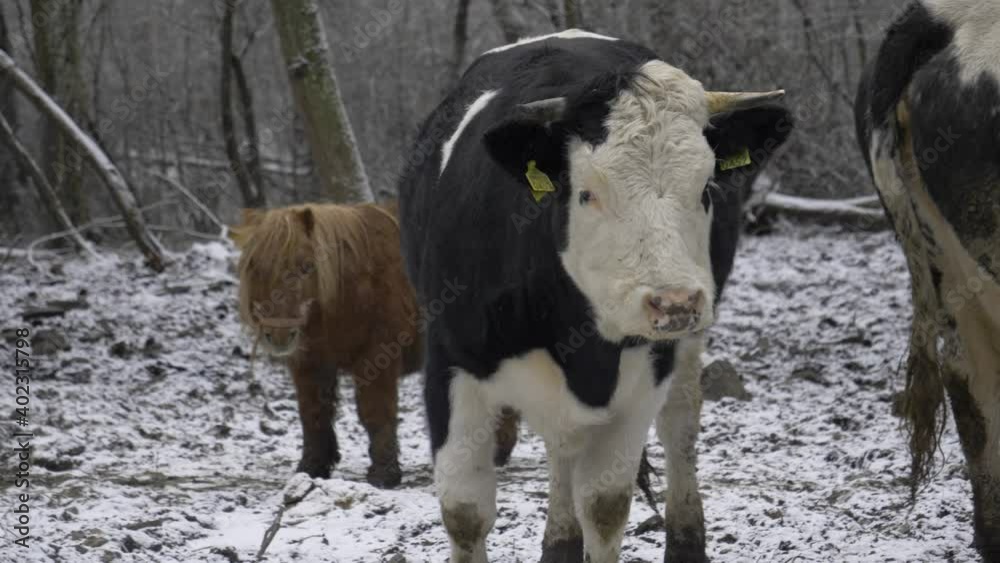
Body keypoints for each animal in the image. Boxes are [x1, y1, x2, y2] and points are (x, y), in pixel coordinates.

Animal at [399, 30, 792, 563]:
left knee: (679, 426)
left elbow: (606, 507)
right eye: (586, 193)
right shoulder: (449, 362)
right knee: (562, 447)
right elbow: (464, 512)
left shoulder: (643, 379)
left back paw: (684, 541)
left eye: (706, 187)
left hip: (689, 343)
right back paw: (560, 544)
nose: (674, 302)